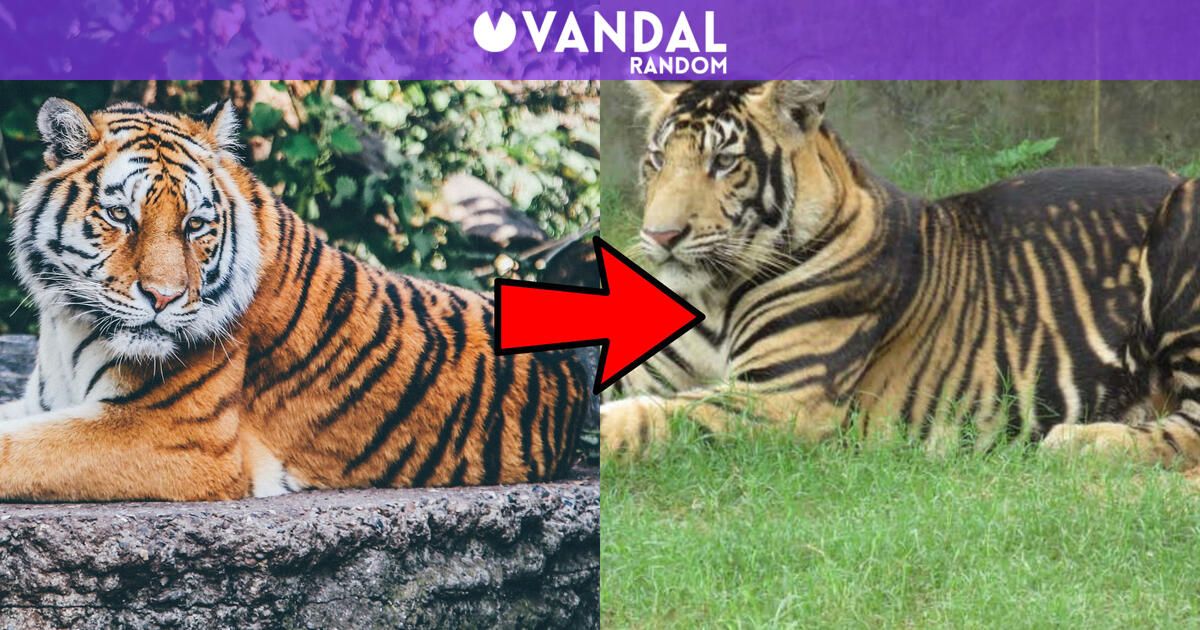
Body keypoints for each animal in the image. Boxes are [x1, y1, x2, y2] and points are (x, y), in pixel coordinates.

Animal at [0, 97, 594, 502]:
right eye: (120, 215)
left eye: (196, 225)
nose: (164, 298)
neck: (70, 324)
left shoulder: (174, 434)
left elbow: (21, 448)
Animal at [601, 79, 1200, 468]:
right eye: (657, 160)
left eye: (723, 163)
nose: (660, 236)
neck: (717, 294)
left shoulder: (782, 397)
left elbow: (643, 420)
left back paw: (1077, 442)